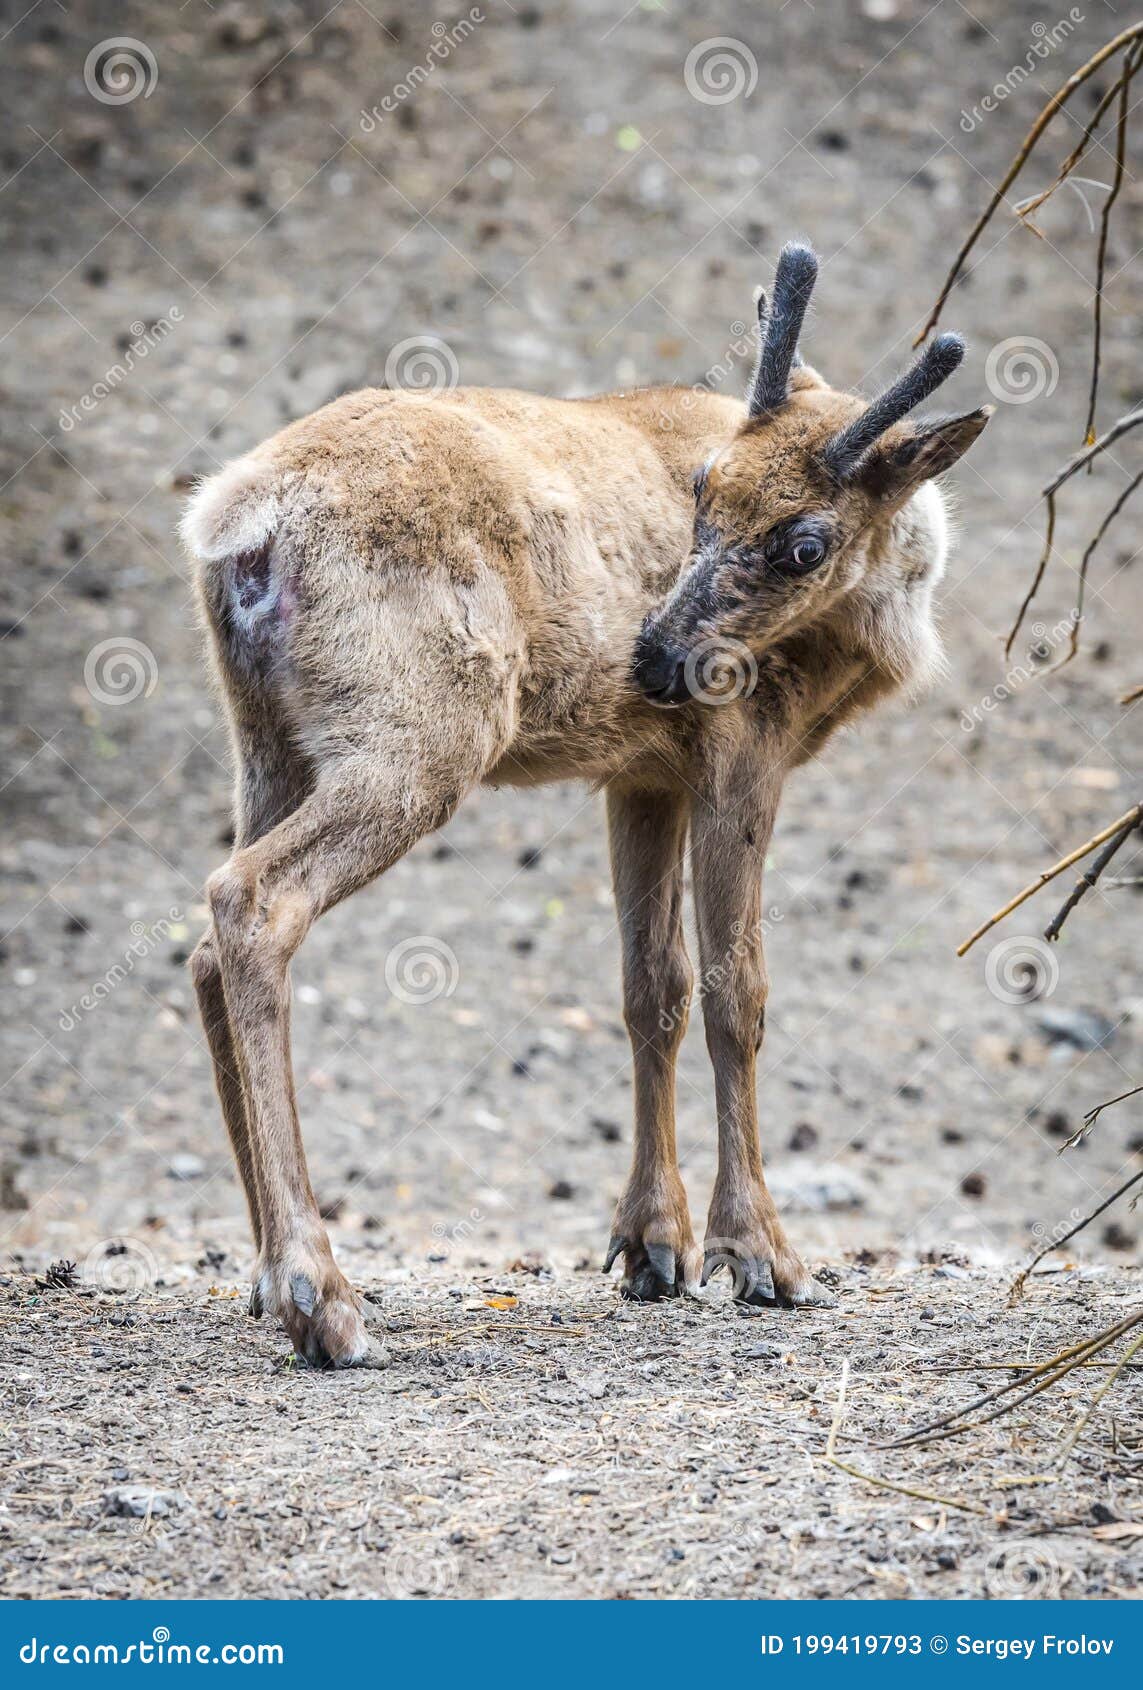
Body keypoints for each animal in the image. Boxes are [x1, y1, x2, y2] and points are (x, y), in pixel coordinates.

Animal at [182, 242, 991, 1367]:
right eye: (703, 487)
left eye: (801, 541)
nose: (654, 658)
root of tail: (237, 526)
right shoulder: (741, 745)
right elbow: (738, 992)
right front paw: (762, 1256)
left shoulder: (642, 771)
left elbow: (652, 988)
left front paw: (654, 1246)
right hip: (413, 733)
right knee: (252, 902)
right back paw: (322, 1298)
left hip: (264, 742)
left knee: (207, 938)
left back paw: (264, 1274)